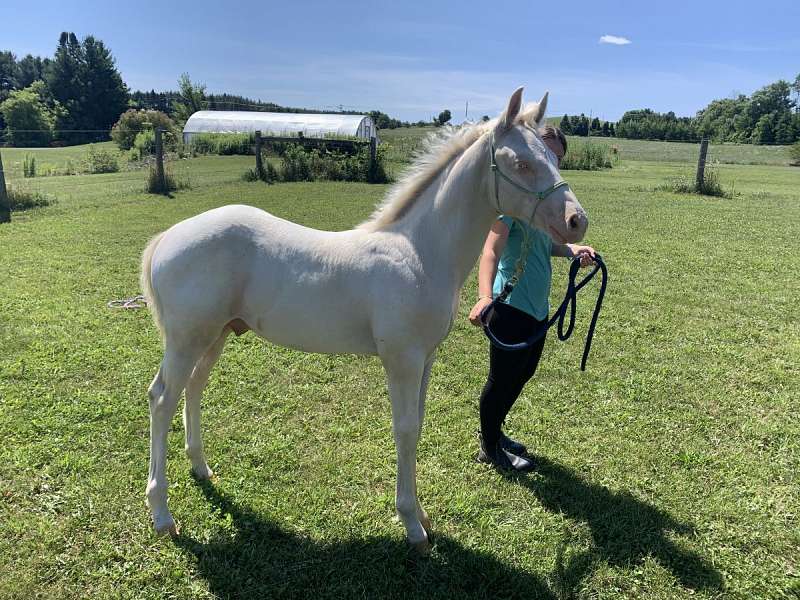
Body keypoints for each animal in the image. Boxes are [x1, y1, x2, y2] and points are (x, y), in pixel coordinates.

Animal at [140, 87, 588, 554]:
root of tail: (167, 238)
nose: (577, 221)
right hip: (186, 339)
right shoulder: (402, 360)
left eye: (552, 158)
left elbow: (418, 424)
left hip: (216, 335)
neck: (421, 252)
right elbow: (405, 430)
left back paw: (201, 468)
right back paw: (162, 514)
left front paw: (422, 516)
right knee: (162, 398)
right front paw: (412, 526)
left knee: (193, 388)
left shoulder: (425, 359)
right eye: (521, 163)